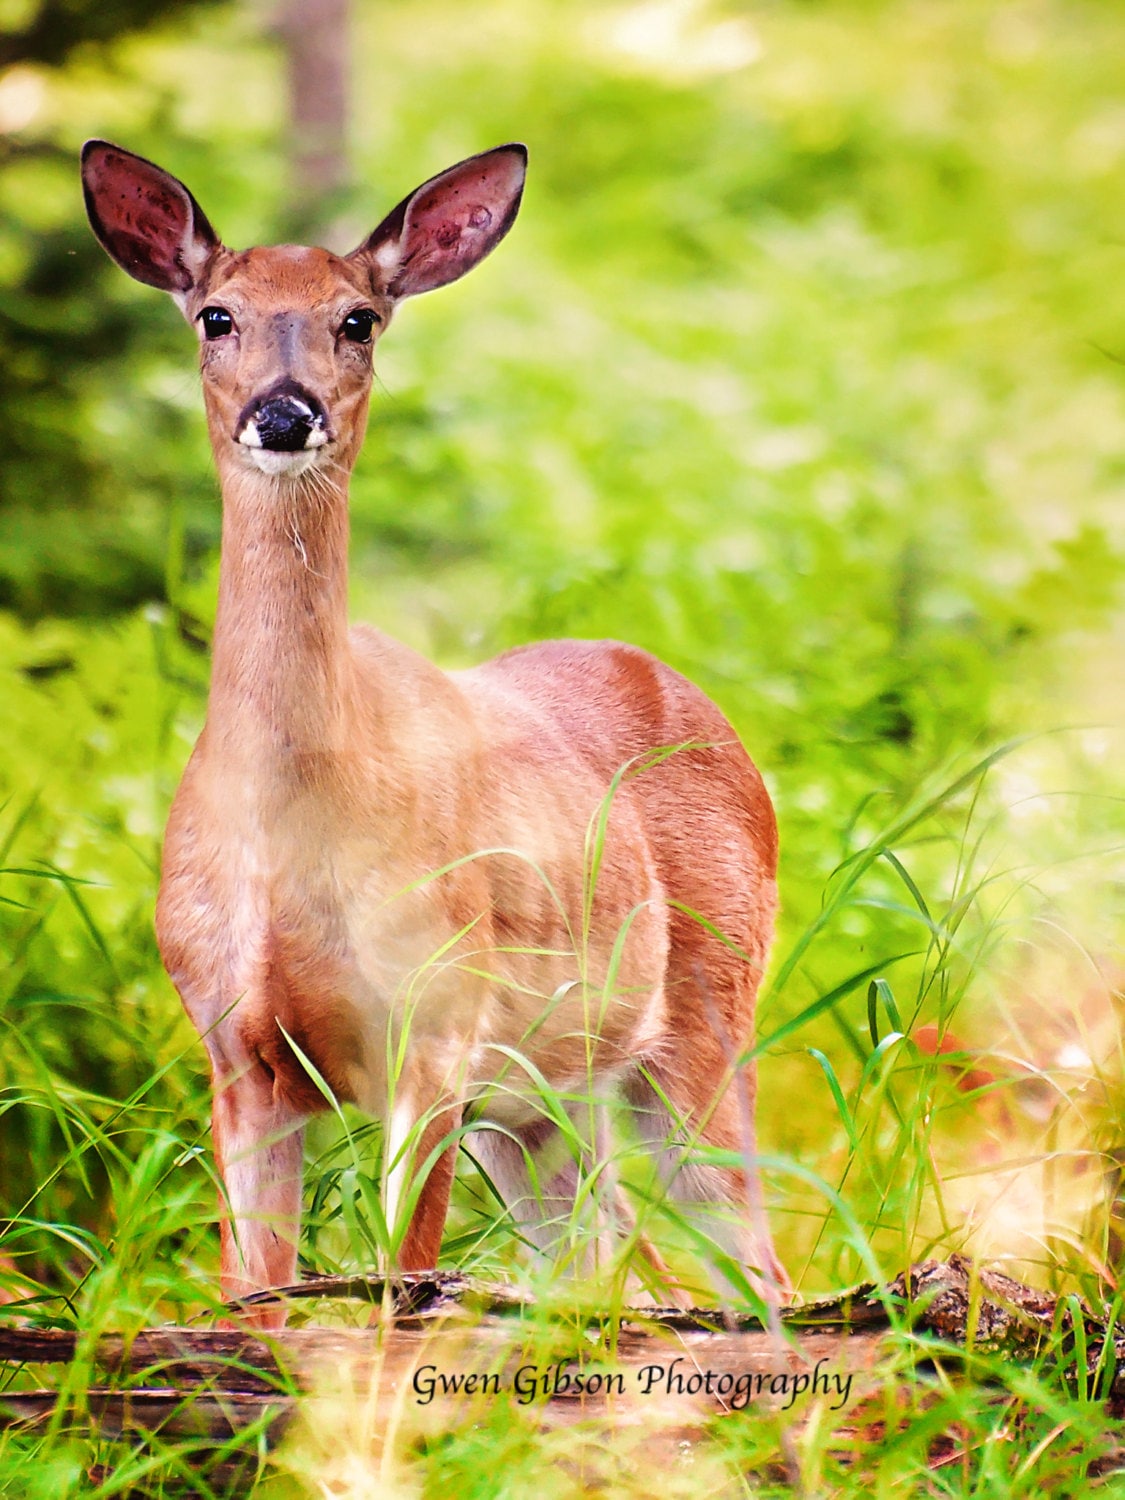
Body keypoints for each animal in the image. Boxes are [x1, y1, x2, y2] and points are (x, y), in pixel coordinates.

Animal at [81, 139, 788, 1327]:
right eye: (216, 315)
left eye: (359, 319)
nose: (284, 413)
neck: (291, 829)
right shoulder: (233, 1045)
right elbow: (254, 1303)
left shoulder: (435, 1022)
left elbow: (401, 1291)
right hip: (545, 1100)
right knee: (600, 1243)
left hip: (702, 1020)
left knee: (760, 1268)